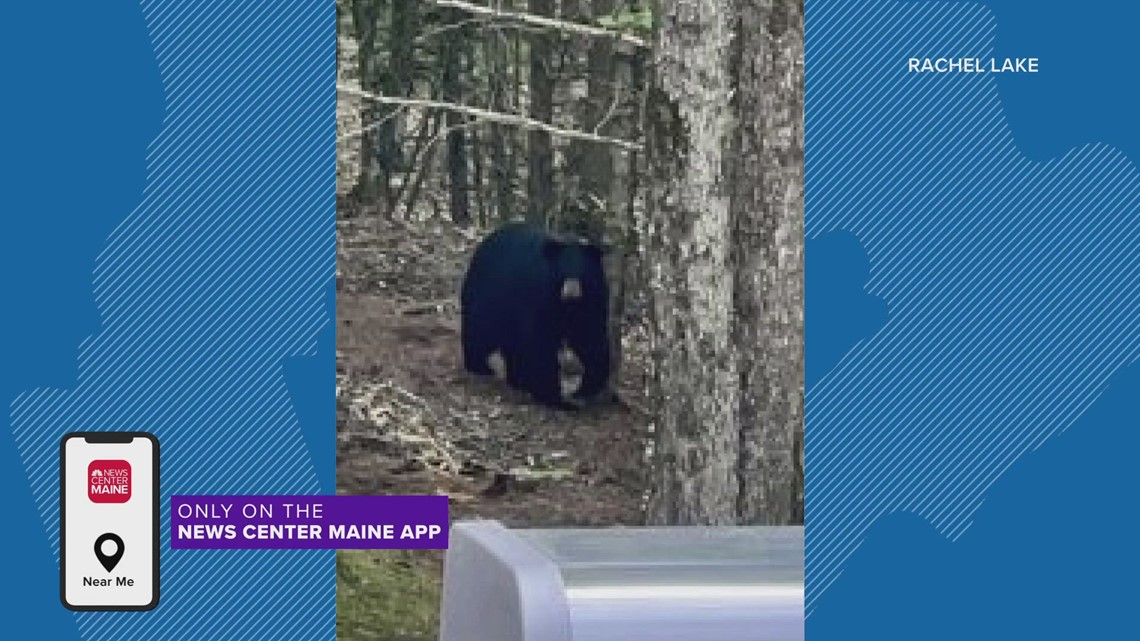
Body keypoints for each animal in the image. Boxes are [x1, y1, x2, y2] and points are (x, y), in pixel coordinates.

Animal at [460, 222, 610, 409]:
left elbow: (591, 338)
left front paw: (583, 390)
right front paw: (556, 398)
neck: (567, 306)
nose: (571, 293)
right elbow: (540, 344)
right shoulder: (539, 298)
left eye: (582, 275)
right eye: (562, 273)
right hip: (488, 299)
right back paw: (481, 367)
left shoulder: (593, 304)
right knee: (480, 332)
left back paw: (516, 380)